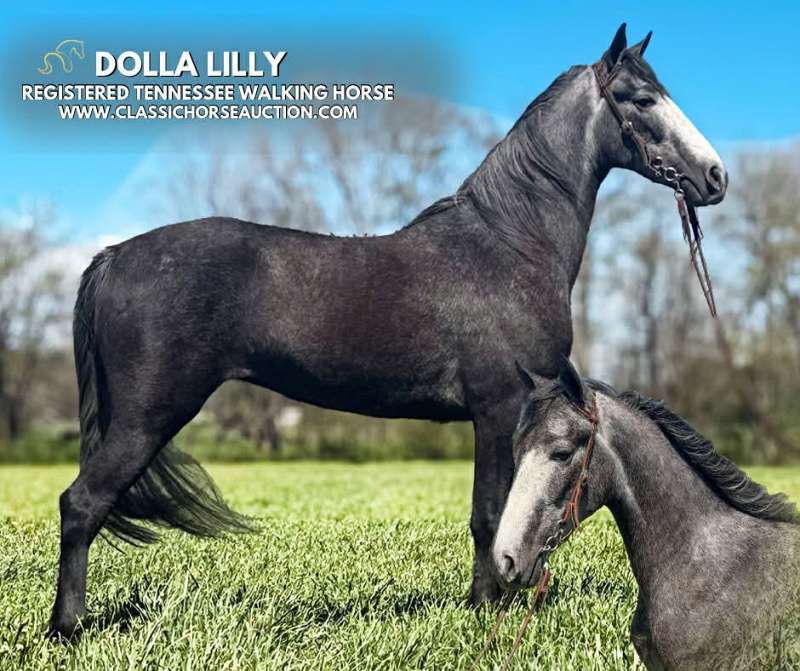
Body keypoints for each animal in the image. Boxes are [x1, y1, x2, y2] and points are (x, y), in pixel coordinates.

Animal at [48, 23, 728, 638]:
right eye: (641, 99)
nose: (715, 177)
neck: (510, 244)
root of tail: (112, 255)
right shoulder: (499, 407)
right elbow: (489, 515)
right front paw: (487, 611)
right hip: (148, 416)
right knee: (81, 503)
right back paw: (67, 628)